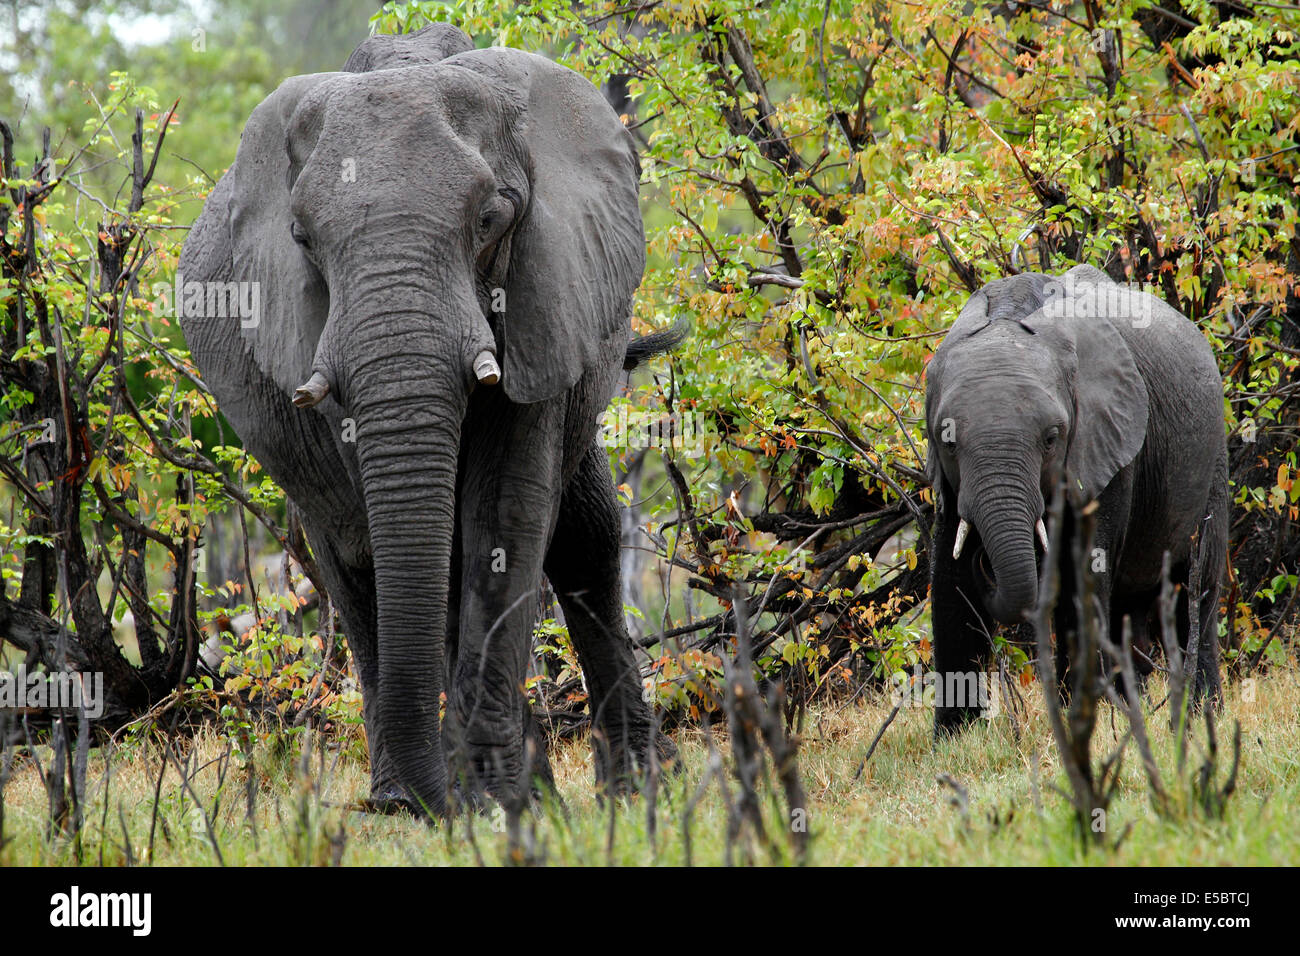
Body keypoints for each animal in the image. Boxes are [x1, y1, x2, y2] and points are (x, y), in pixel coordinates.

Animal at [178, 25, 679, 816]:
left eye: (490, 220)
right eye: (302, 238)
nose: (423, 802)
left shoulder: (543, 290)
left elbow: (503, 515)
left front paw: (501, 800)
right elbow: (421, 538)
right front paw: (489, 802)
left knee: (584, 536)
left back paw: (624, 792)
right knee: (353, 559)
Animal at [924, 265, 1227, 733]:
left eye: (1051, 439)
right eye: (949, 442)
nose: (984, 563)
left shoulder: (1110, 445)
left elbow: (1081, 574)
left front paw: (1077, 724)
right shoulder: (951, 481)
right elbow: (950, 581)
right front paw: (952, 739)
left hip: (1213, 457)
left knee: (1196, 591)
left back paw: (1198, 717)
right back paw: (1133, 710)